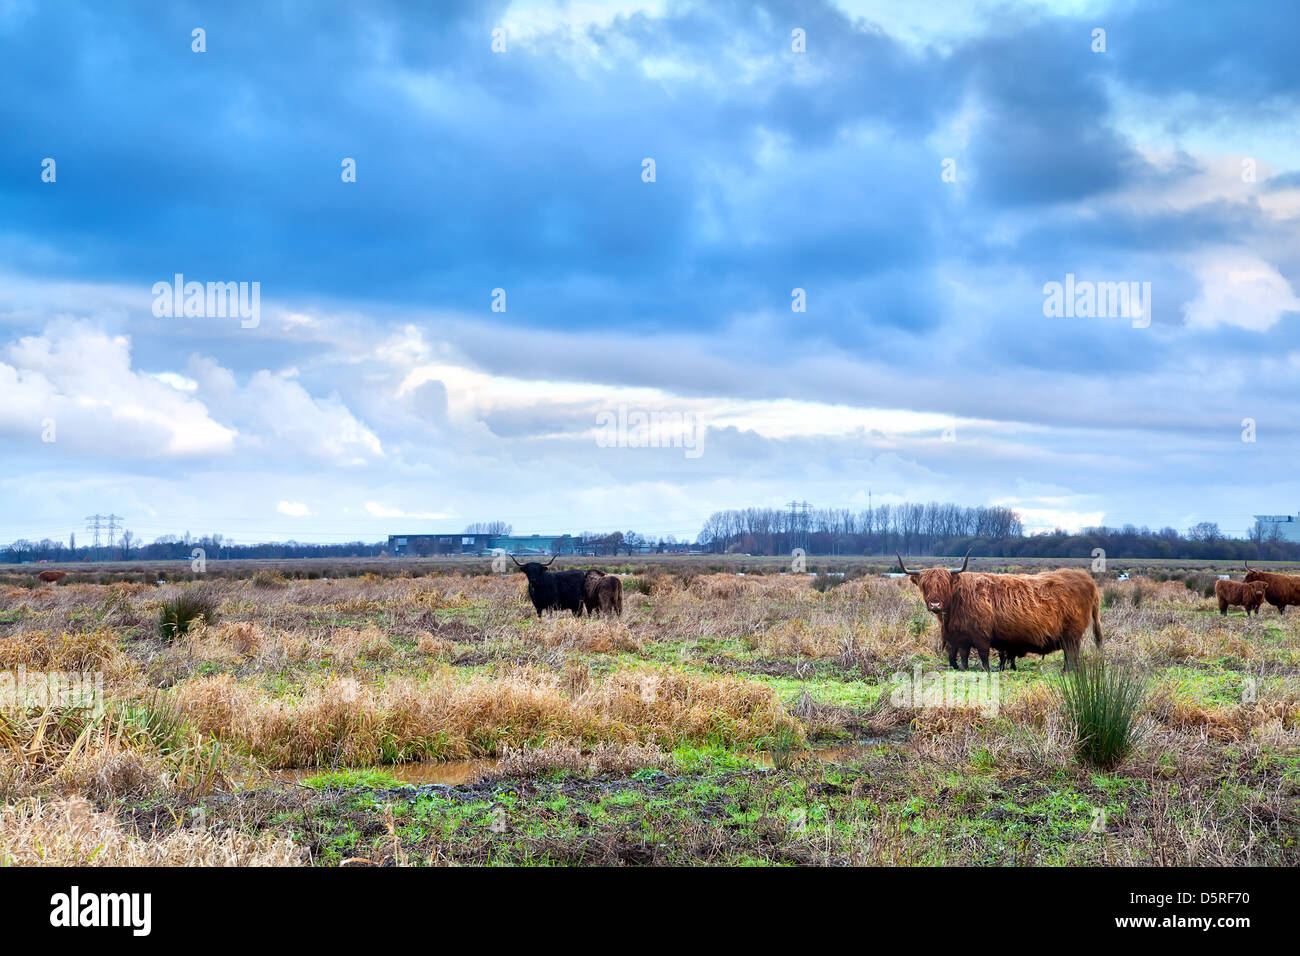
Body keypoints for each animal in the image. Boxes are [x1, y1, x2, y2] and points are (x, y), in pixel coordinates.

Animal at [897, 551, 1102, 672]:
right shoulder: (962, 636)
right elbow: (963, 655)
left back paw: (1067, 672)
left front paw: (987, 670)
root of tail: (1085, 578)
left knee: (1071, 654)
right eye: (925, 585)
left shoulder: (980, 634)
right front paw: (964, 669)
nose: (935, 605)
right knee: (1070, 654)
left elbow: (983, 654)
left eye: (944, 584)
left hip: (1072, 634)